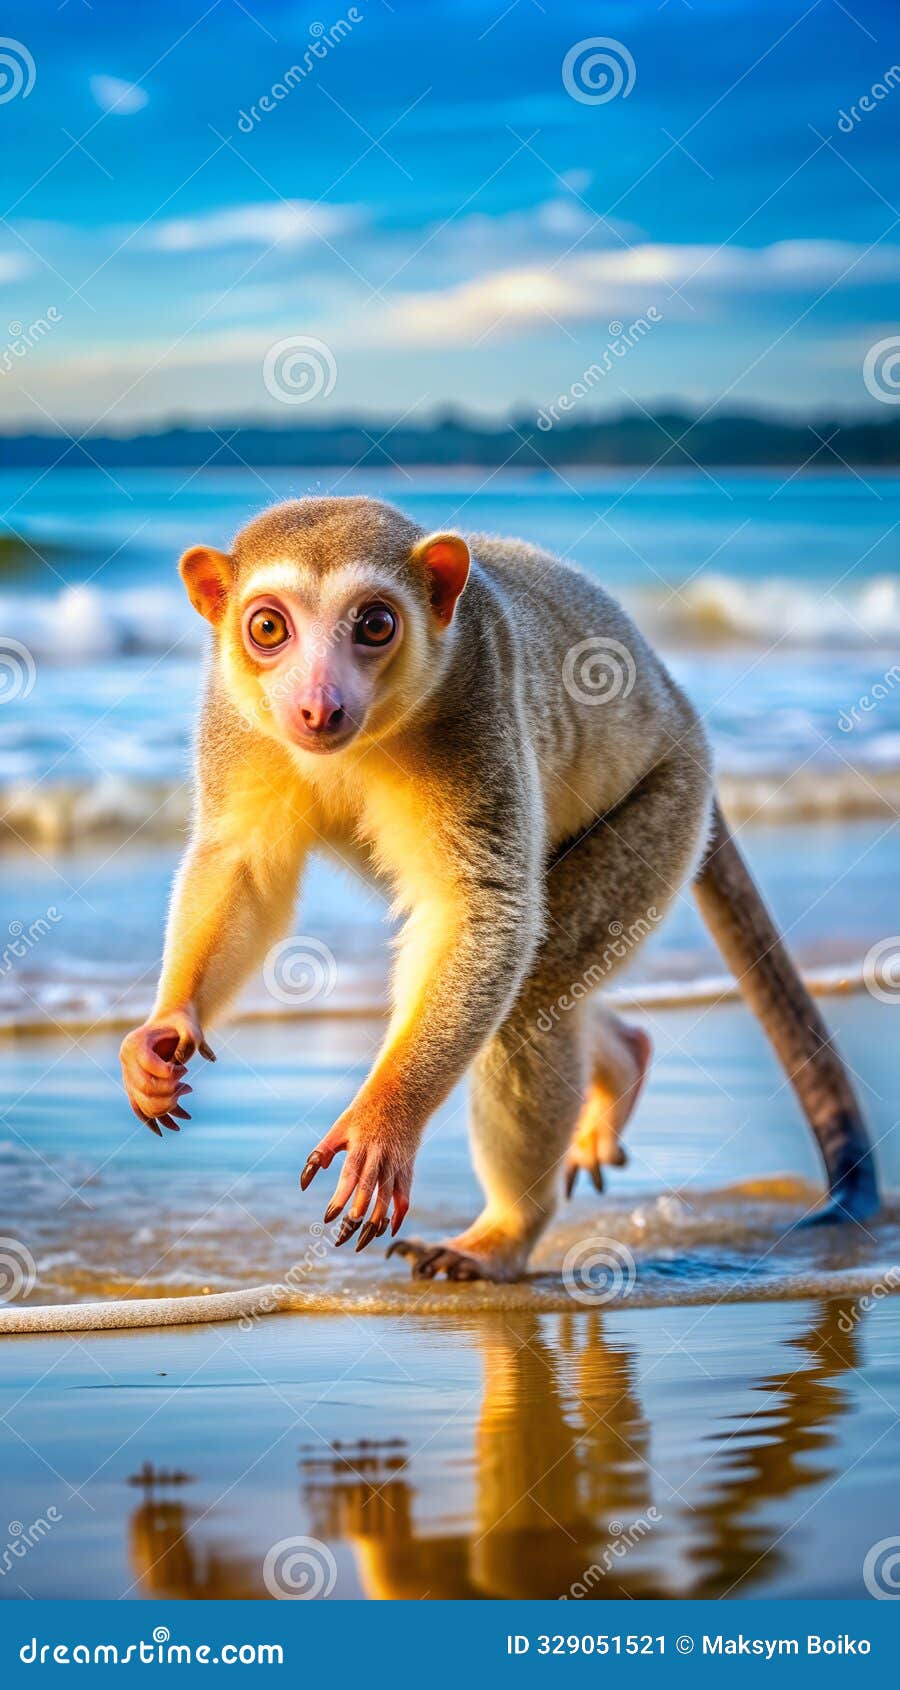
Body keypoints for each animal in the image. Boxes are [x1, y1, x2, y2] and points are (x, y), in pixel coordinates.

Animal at [119, 495, 878, 1284]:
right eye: (268, 629)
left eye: (374, 625)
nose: (319, 706)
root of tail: (677, 700)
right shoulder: (231, 717)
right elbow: (241, 865)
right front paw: (167, 1027)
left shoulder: (474, 702)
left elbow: (486, 912)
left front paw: (386, 1118)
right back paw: (622, 1059)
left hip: (670, 804)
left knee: (534, 997)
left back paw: (504, 1238)